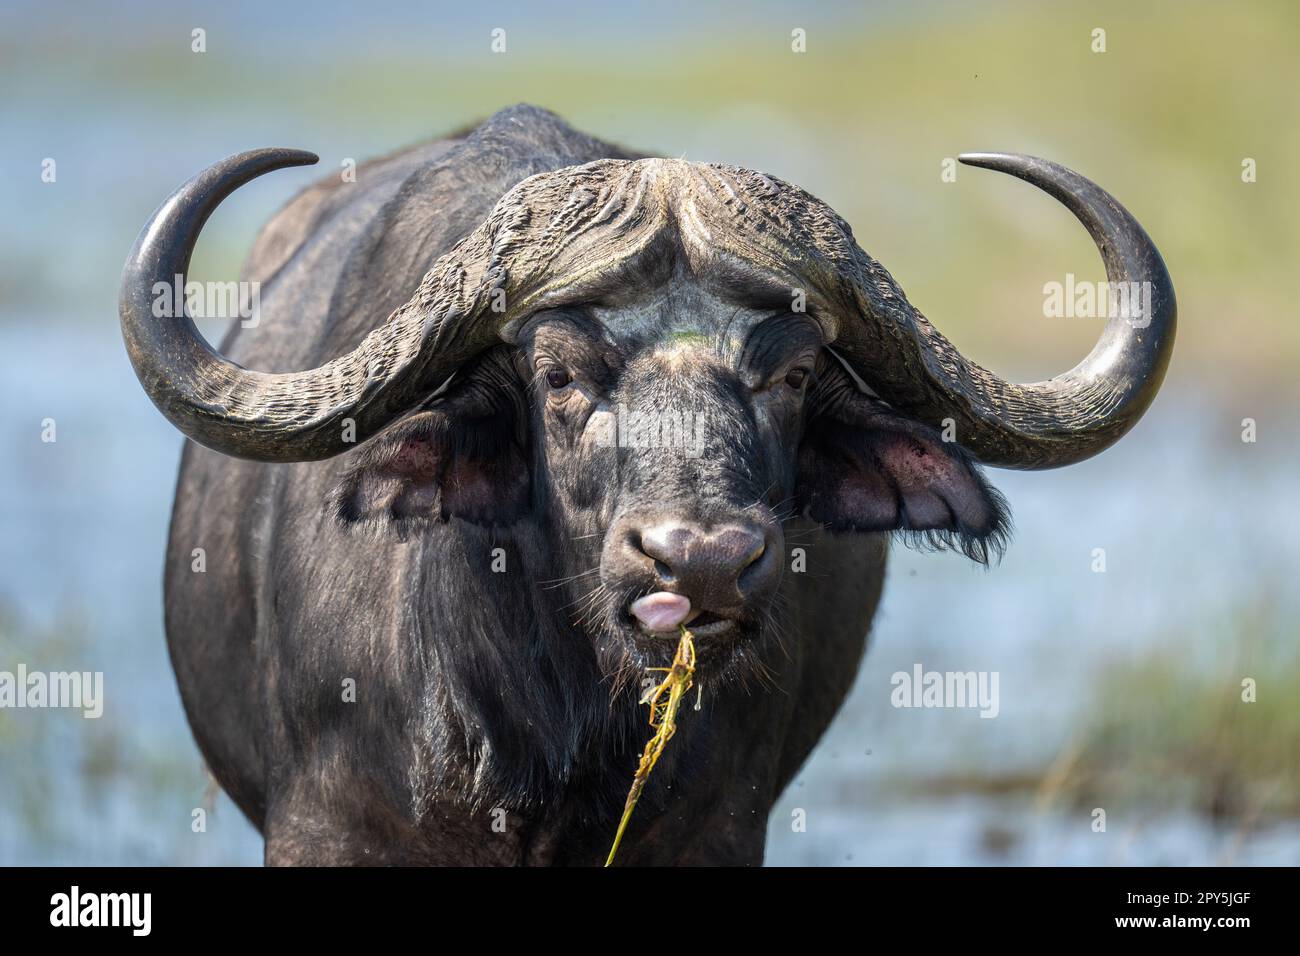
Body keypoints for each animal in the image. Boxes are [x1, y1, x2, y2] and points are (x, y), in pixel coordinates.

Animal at [119, 105, 1174, 865]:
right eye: (558, 375)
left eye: (794, 374)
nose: (699, 563)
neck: (549, 728)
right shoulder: (328, 829)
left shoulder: (714, 835)